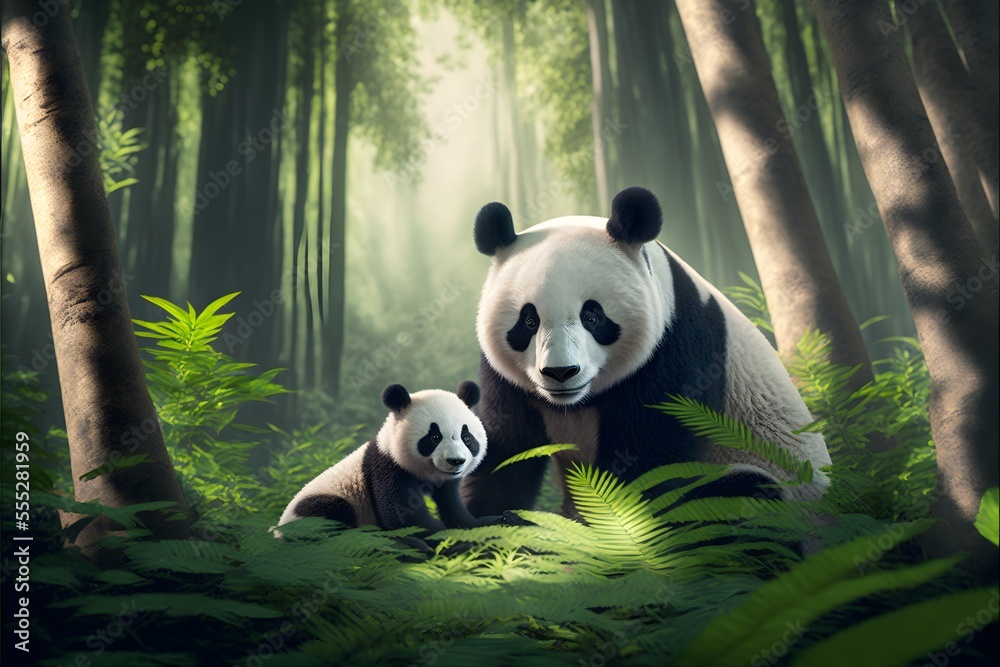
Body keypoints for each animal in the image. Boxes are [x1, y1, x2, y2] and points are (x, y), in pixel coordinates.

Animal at [276, 381, 490, 536]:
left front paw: (483, 522)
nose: (456, 461)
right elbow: (401, 516)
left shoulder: (445, 482)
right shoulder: (387, 467)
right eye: (434, 437)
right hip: (322, 505)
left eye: (467, 438)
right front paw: (440, 534)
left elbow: (452, 505)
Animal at [461, 186, 832, 518]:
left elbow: (643, 466)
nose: (560, 372)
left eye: (593, 317)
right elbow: (505, 448)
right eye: (528, 322)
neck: (576, 404)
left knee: (744, 499)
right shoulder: (506, 379)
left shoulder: (676, 346)